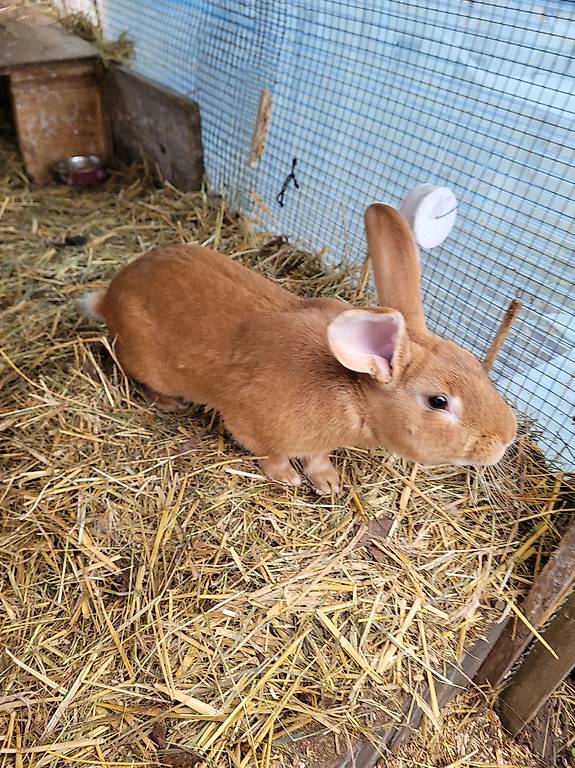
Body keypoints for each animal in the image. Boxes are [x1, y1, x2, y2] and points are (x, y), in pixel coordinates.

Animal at [81, 204, 517, 495]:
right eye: (438, 401)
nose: (506, 439)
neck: (351, 393)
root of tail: (110, 297)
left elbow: (317, 457)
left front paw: (328, 482)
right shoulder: (252, 423)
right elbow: (270, 454)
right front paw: (289, 478)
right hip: (146, 364)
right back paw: (172, 404)